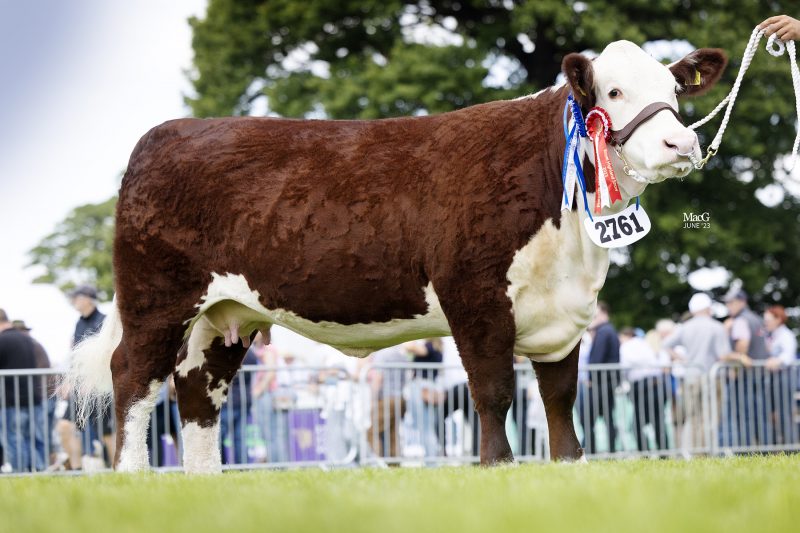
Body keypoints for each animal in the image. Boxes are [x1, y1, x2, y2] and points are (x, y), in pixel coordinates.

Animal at [67, 40, 727, 473]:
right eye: (613, 91)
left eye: (673, 90)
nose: (681, 143)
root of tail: (164, 135)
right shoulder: (474, 294)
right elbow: (494, 391)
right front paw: (497, 468)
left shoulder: (565, 310)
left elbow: (560, 397)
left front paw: (569, 468)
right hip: (157, 298)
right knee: (135, 376)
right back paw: (132, 476)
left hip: (226, 314)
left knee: (198, 391)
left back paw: (204, 486)